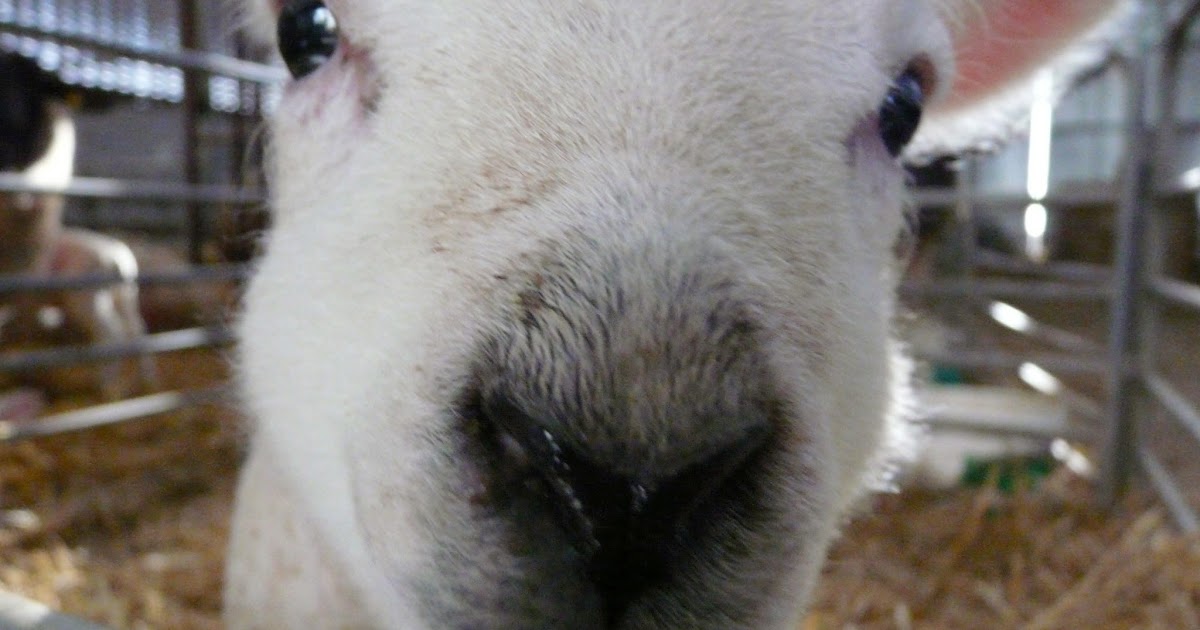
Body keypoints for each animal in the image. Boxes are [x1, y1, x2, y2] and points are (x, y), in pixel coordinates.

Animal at [0, 52, 157, 400]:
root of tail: (121, 261)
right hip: (122, 297)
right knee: (136, 330)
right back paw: (140, 382)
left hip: (87, 299)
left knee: (111, 336)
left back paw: (108, 387)